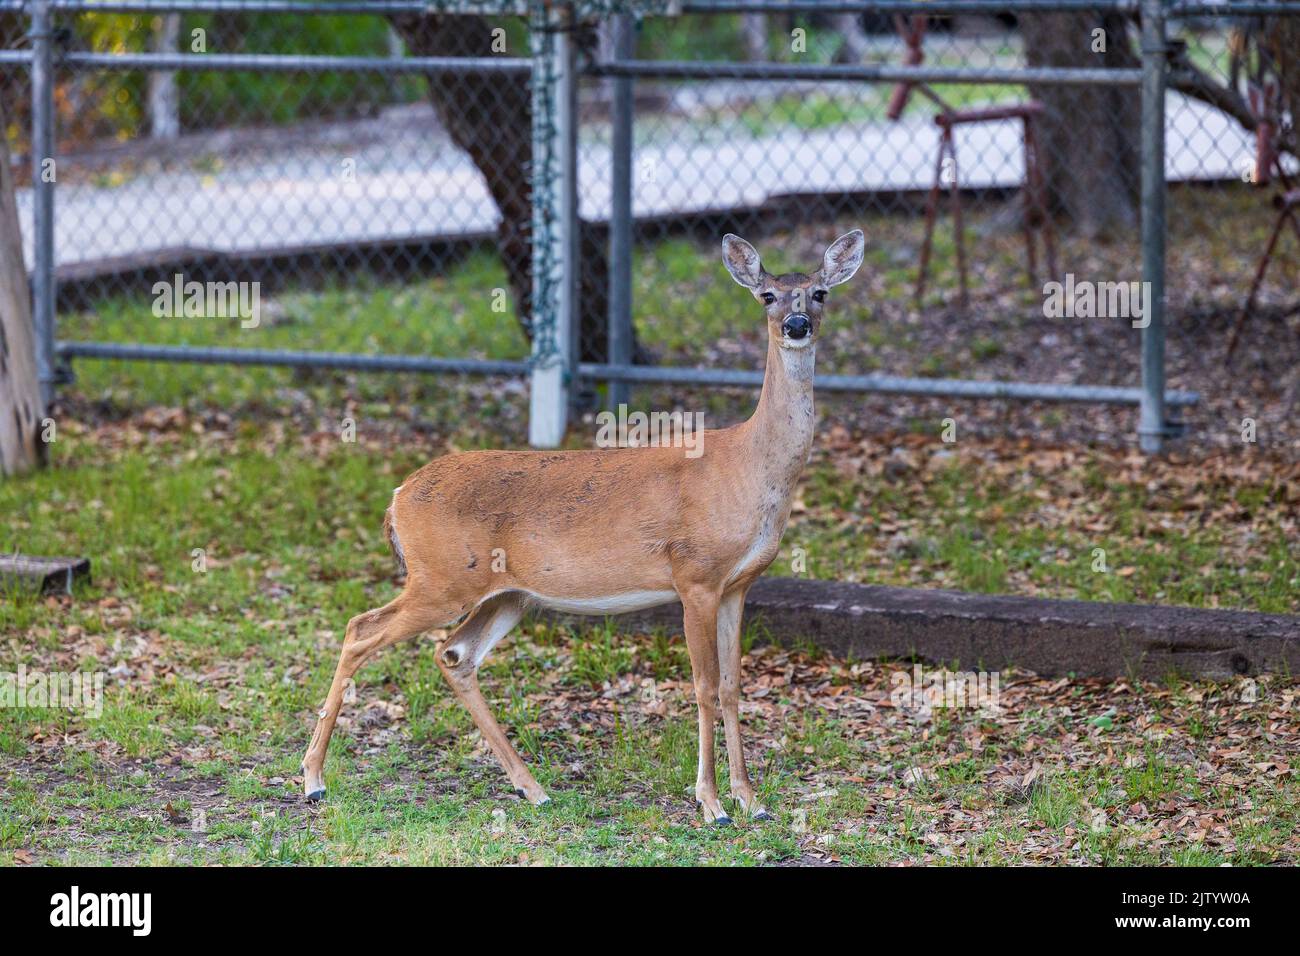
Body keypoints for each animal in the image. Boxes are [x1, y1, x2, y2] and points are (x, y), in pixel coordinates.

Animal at [301, 230, 865, 824]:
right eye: (767, 296)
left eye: (820, 293)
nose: (796, 325)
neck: (750, 468)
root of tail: (397, 497)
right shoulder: (695, 576)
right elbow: (705, 686)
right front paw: (711, 803)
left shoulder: (739, 584)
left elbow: (734, 686)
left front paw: (750, 800)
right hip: (441, 578)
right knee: (361, 630)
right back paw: (313, 779)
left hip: (507, 594)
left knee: (454, 655)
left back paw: (532, 787)